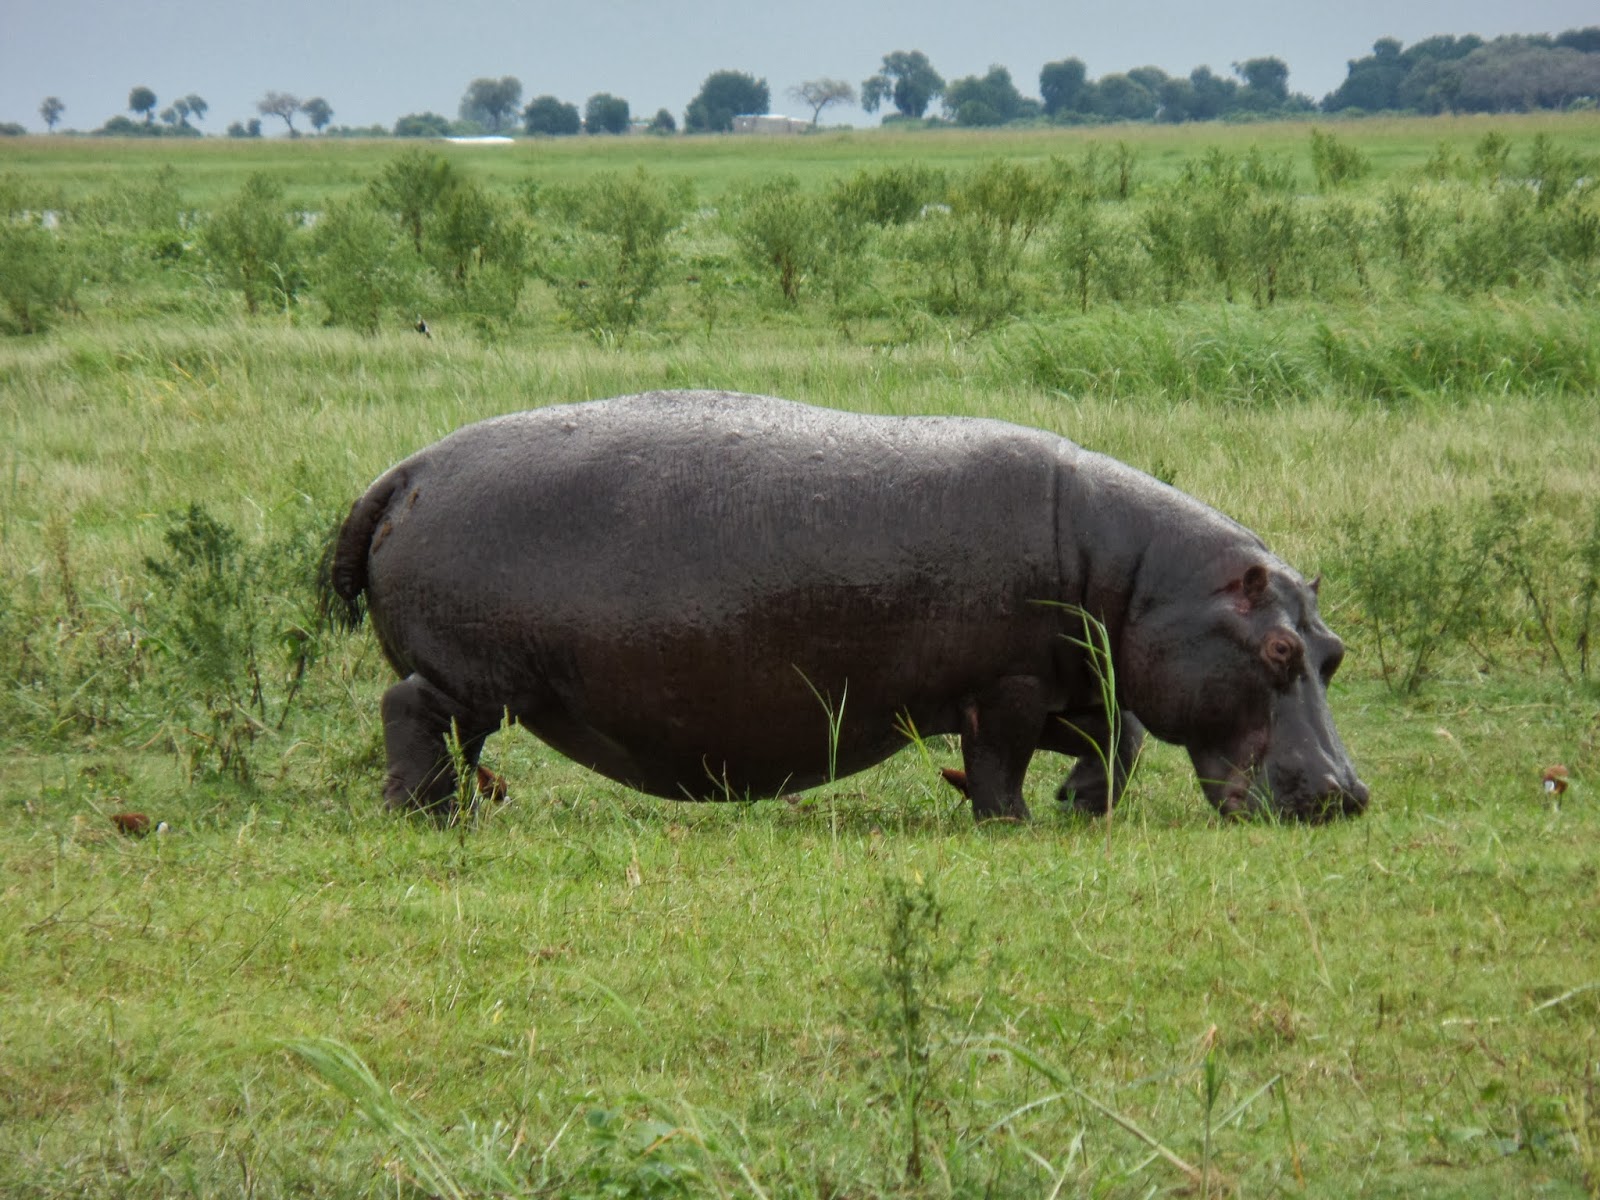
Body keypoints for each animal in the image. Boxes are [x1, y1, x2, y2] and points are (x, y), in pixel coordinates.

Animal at [327, 390, 1368, 823]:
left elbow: (1122, 737)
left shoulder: (1074, 680)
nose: (1349, 794)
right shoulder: (1008, 686)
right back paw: (425, 816)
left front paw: (1079, 805)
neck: (1140, 579)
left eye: (1334, 652)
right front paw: (1011, 822)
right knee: (408, 711)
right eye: (1277, 654)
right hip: (475, 677)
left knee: (439, 730)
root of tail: (407, 470)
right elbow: (999, 764)